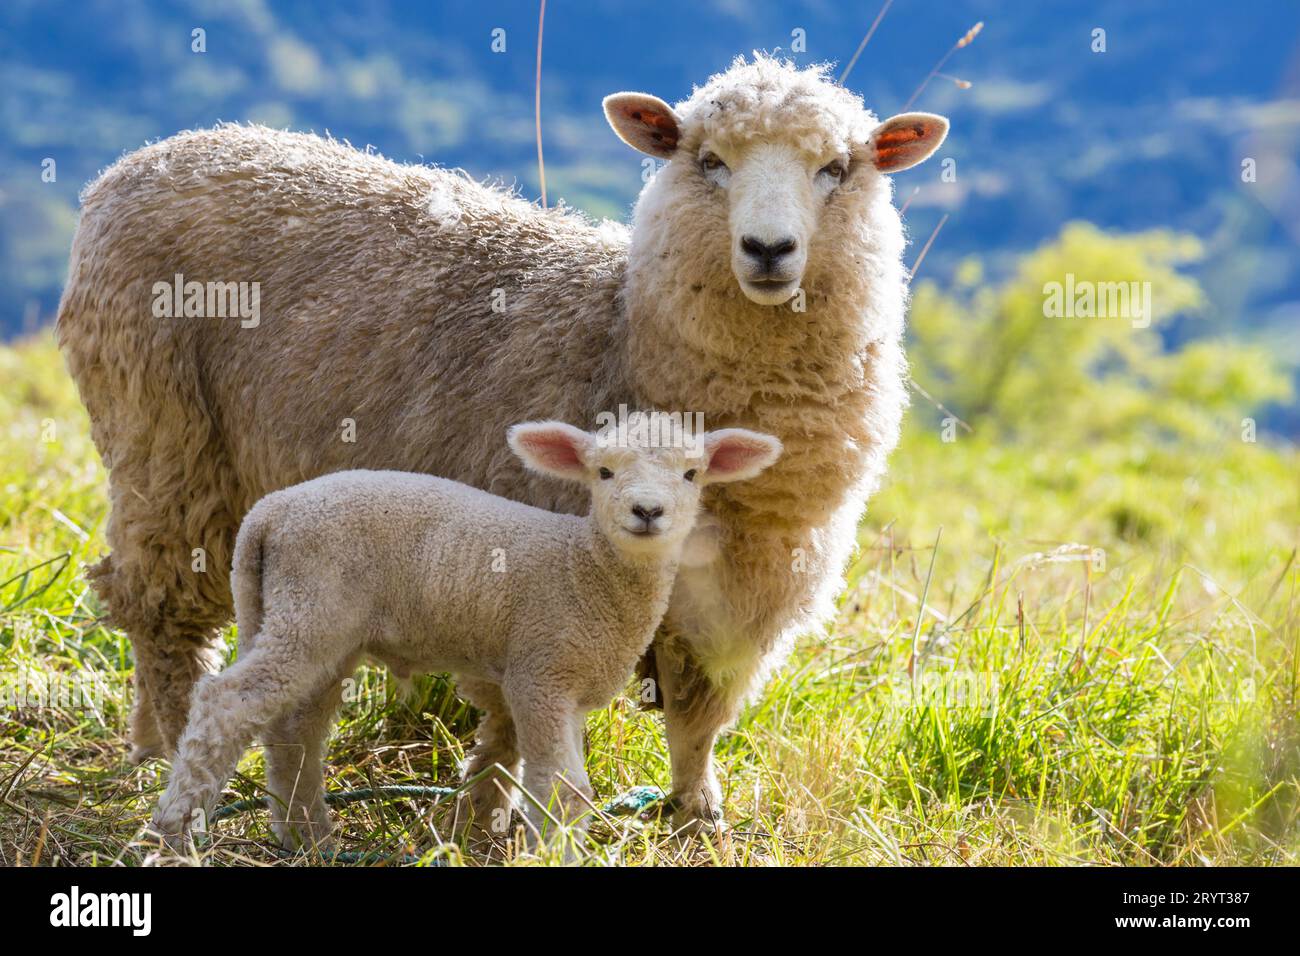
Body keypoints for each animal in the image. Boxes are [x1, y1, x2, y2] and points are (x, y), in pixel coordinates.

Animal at [148, 419, 781, 850]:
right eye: (602, 472)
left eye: (691, 474)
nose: (647, 512)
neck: (586, 567)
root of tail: (267, 515)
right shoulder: (541, 672)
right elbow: (563, 787)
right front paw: (556, 851)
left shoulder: (558, 685)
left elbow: (532, 770)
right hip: (312, 607)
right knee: (227, 703)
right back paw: (175, 830)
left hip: (303, 620)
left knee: (291, 728)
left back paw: (308, 836)